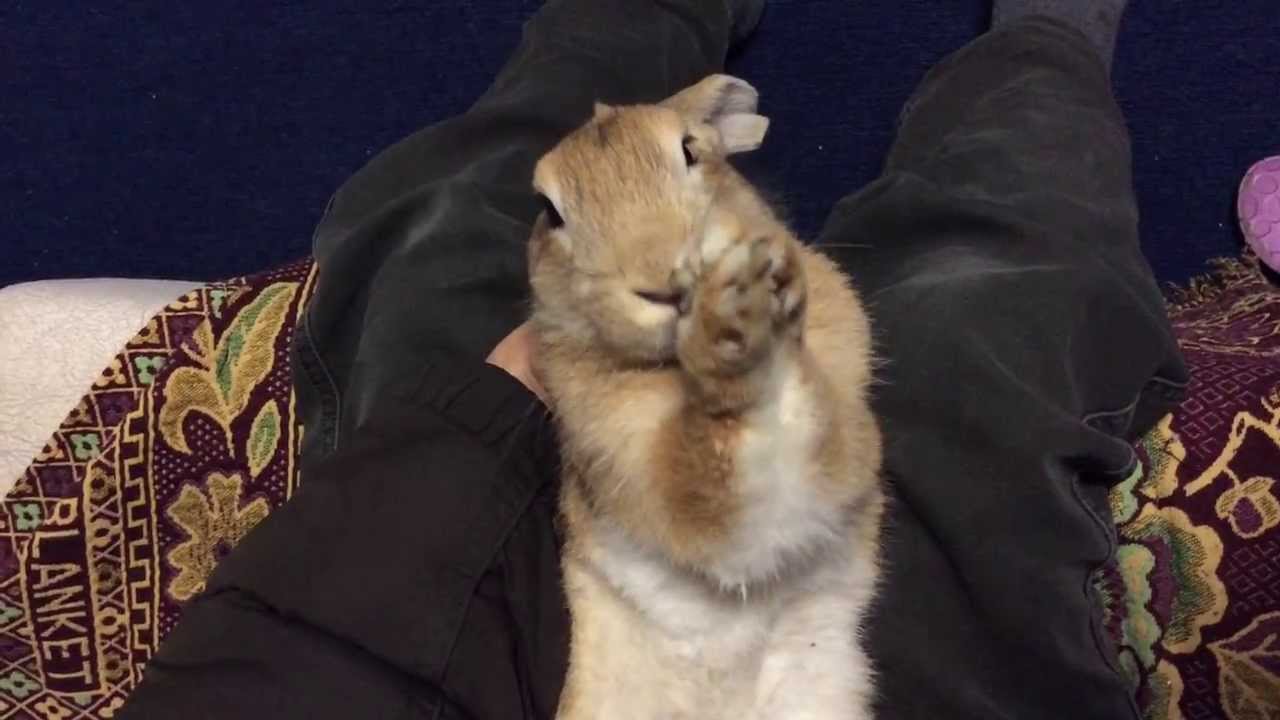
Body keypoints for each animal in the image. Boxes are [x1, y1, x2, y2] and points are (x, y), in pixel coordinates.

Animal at [528, 74, 884, 720]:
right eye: (550, 211)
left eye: (690, 150)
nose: (665, 282)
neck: (677, 365)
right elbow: (731, 458)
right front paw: (736, 321)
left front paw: (747, 295)